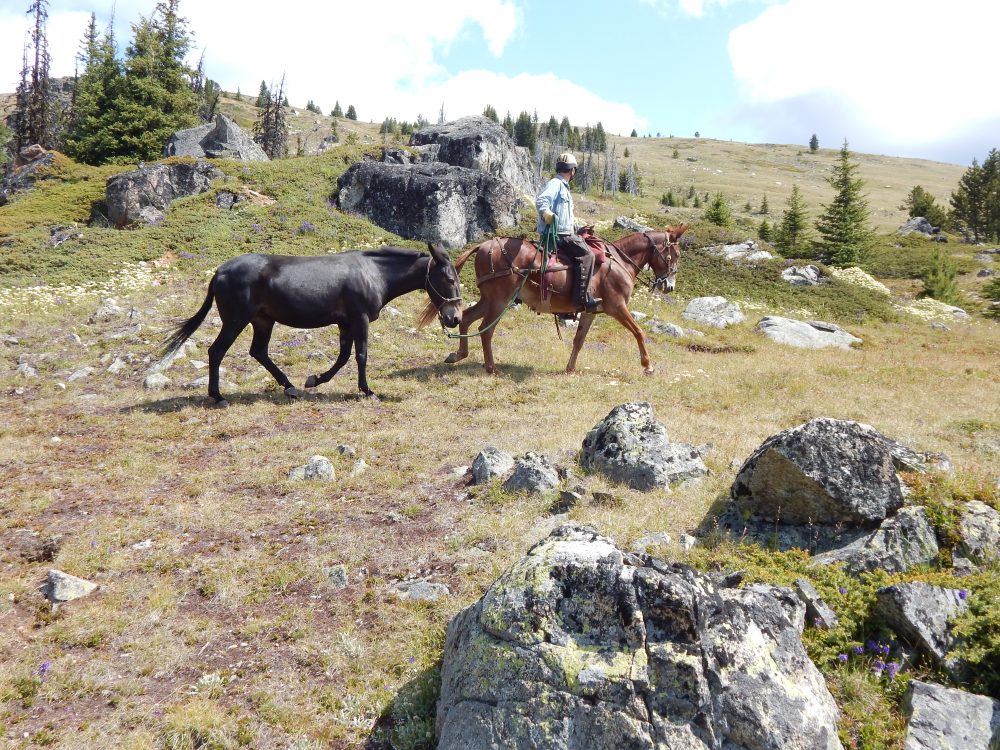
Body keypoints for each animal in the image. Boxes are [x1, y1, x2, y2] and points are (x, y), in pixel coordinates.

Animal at [162, 244, 462, 406]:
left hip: (263, 320)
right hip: (236, 320)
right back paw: (218, 397)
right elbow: (361, 355)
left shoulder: (345, 323)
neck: (374, 273)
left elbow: (343, 357)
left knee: (258, 352)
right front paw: (367, 391)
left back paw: (289, 387)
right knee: (217, 352)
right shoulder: (359, 319)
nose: (455, 318)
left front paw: (315, 380)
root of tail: (219, 272)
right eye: (449, 279)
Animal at [440, 225, 687, 375]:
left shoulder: (589, 312)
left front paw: (570, 368)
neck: (619, 261)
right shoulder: (617, 307)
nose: (669, 286)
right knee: (486, 330)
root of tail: (484, 245)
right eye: (675, 255)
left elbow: (579, 341)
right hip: (500, 301)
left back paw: (458, 354)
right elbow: (639, 332)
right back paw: (491, 368)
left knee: (466, 318)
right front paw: (648, 366)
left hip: (489, 300)